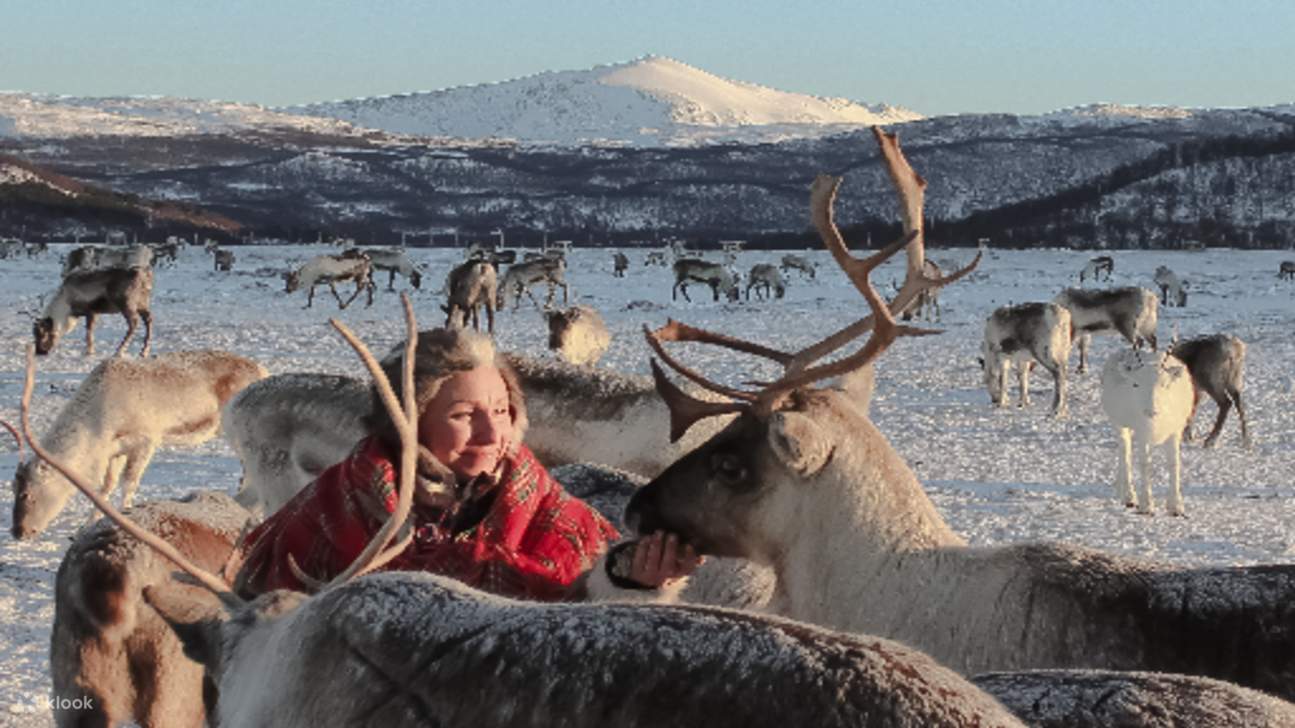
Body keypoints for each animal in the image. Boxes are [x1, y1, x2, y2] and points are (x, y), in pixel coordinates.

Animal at [11, 349, 267, 539]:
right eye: (13, 488)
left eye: (27, 494)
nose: (17, 532)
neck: (97, 430)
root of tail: (263, 371)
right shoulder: (115, 450)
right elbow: (106, 486)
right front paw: (84, 527)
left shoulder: (146, 439)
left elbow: (129, 483)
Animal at [1100, 348, 1195, 516]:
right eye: (1136, 384)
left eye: (1165, 385)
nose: (1151, 411)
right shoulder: (1143, 433)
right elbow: (1145, 464)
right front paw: (1147, 506)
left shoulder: (1174, 432)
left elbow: (1174, 463)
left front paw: (1176, 506)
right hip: (1119, 424)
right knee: (1125, 452)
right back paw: (1129, 497)